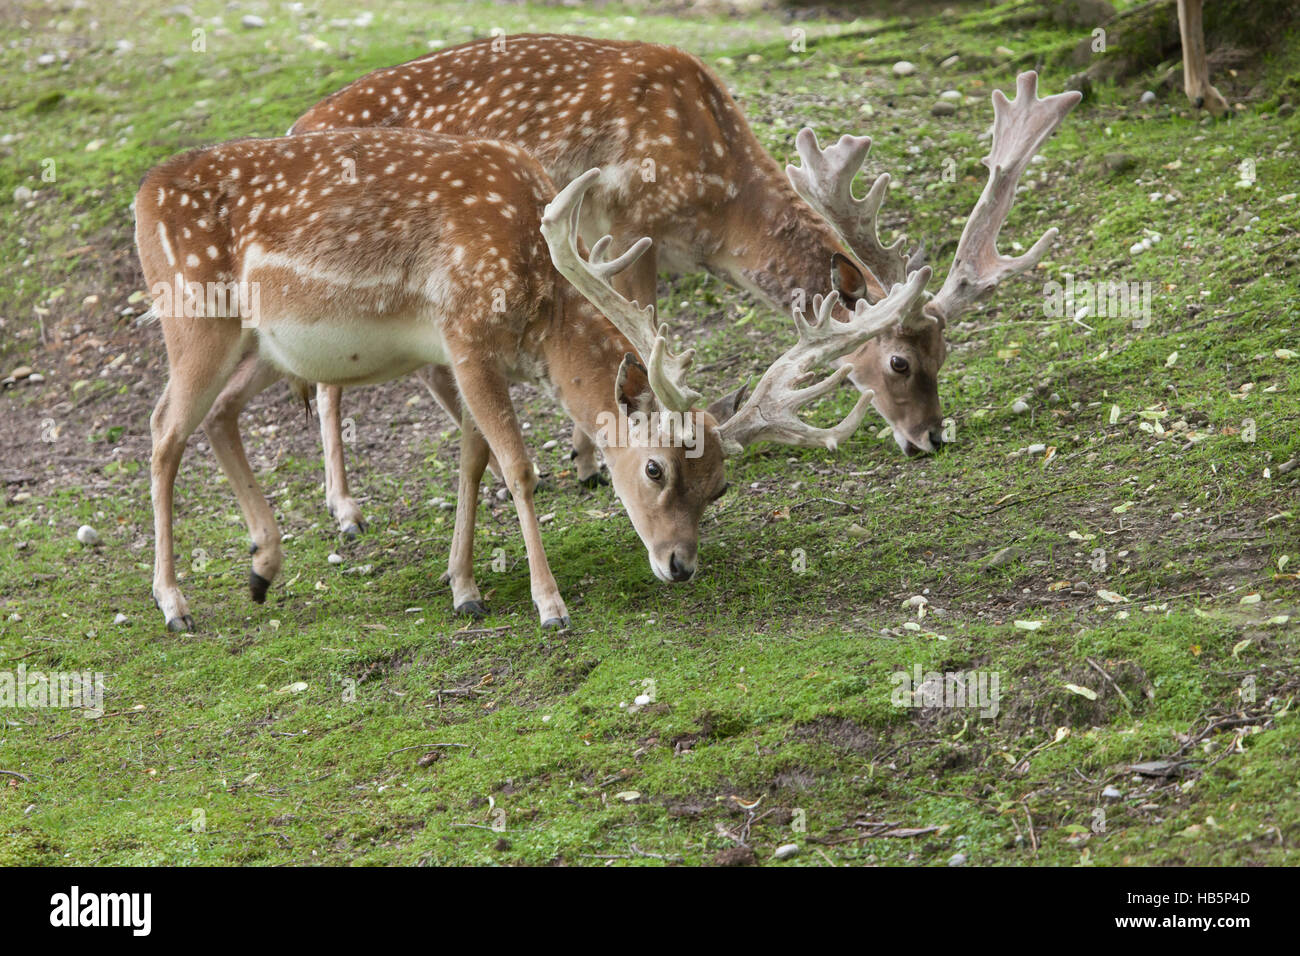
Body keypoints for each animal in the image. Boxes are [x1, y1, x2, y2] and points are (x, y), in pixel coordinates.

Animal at [134, 126, 939, 632]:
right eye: (655, 468)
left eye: (720, 486)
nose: (680, 564)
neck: (540, 311)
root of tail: (143, 194)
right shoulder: (463, 335)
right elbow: (516, 467)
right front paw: (549, 606)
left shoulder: (472, 356)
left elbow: (471, 460)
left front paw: (464, 590)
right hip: (194, 317)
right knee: (164, 426)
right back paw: (175, 604)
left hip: (264, 347)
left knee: (217, 416)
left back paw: (262, 568)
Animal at [259, 36, 1075, 537]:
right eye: (900, 362)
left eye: (945, 355)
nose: (931, 437)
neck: (718, 204)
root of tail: (296, 123)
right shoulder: (629, 220)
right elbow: (640, 334)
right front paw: (598, 458)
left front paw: (588, 460)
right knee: (325, 381)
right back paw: (346, 511)